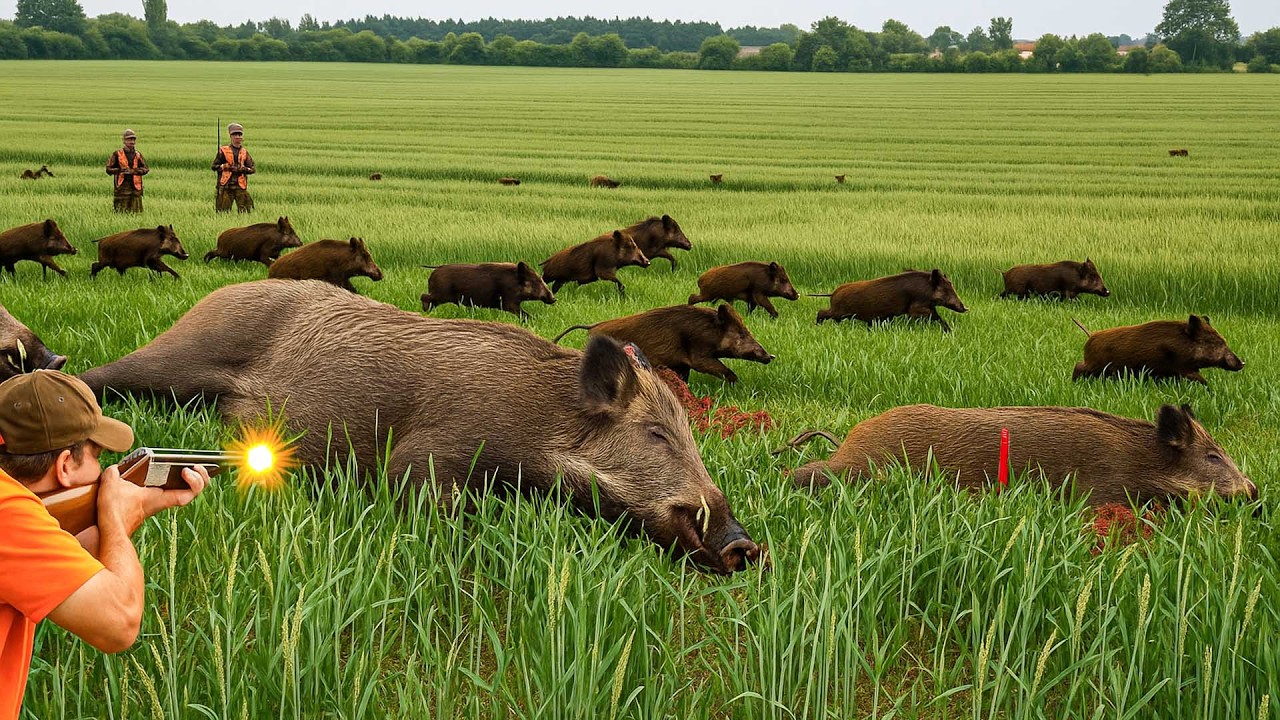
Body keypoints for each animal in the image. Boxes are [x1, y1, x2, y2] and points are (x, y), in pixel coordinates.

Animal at [420, 262, 555, 319]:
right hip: (440, 294)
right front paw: (534, 320)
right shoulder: (509, 302)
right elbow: (524, 314)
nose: (554, 299)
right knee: (423, 296)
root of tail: (435, 270)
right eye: (536, 281)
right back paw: (425, 310)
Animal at [554, 304, 774, 384]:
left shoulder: (682, 364)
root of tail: (592, 327)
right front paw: (734, 380)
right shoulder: (698, 354)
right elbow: (712, 366)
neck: (711, 333)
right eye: (741, 333)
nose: (770, 356)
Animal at [814, 269, 968, 332]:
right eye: (947, 289)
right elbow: (935, 316)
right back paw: (817, 326)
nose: (965, 308)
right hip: (839, 312)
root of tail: (834, 293)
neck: (927, 291)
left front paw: (949, 331)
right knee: (821, 312)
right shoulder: (915, 308)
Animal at [1072, 315, 1243, 385]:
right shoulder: (1183, 368)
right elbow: (1202, 380)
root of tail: (1091, 336)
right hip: (1094, 365)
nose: (1242, 362)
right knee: (1078, 366)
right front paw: (1211, 391)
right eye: (1216, 342)